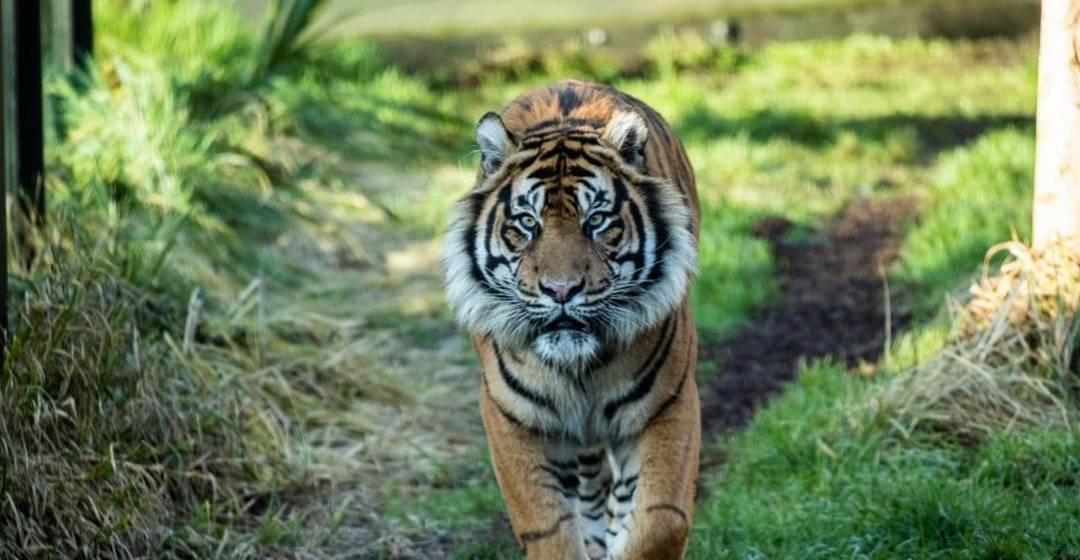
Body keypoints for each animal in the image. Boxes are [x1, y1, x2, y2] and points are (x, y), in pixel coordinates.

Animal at [442, 80, 700, 560]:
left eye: (596, 220)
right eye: (527, 223)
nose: (561, 290)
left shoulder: (669, 403)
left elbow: (660, 521)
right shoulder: (511, 417)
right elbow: (550, 528)